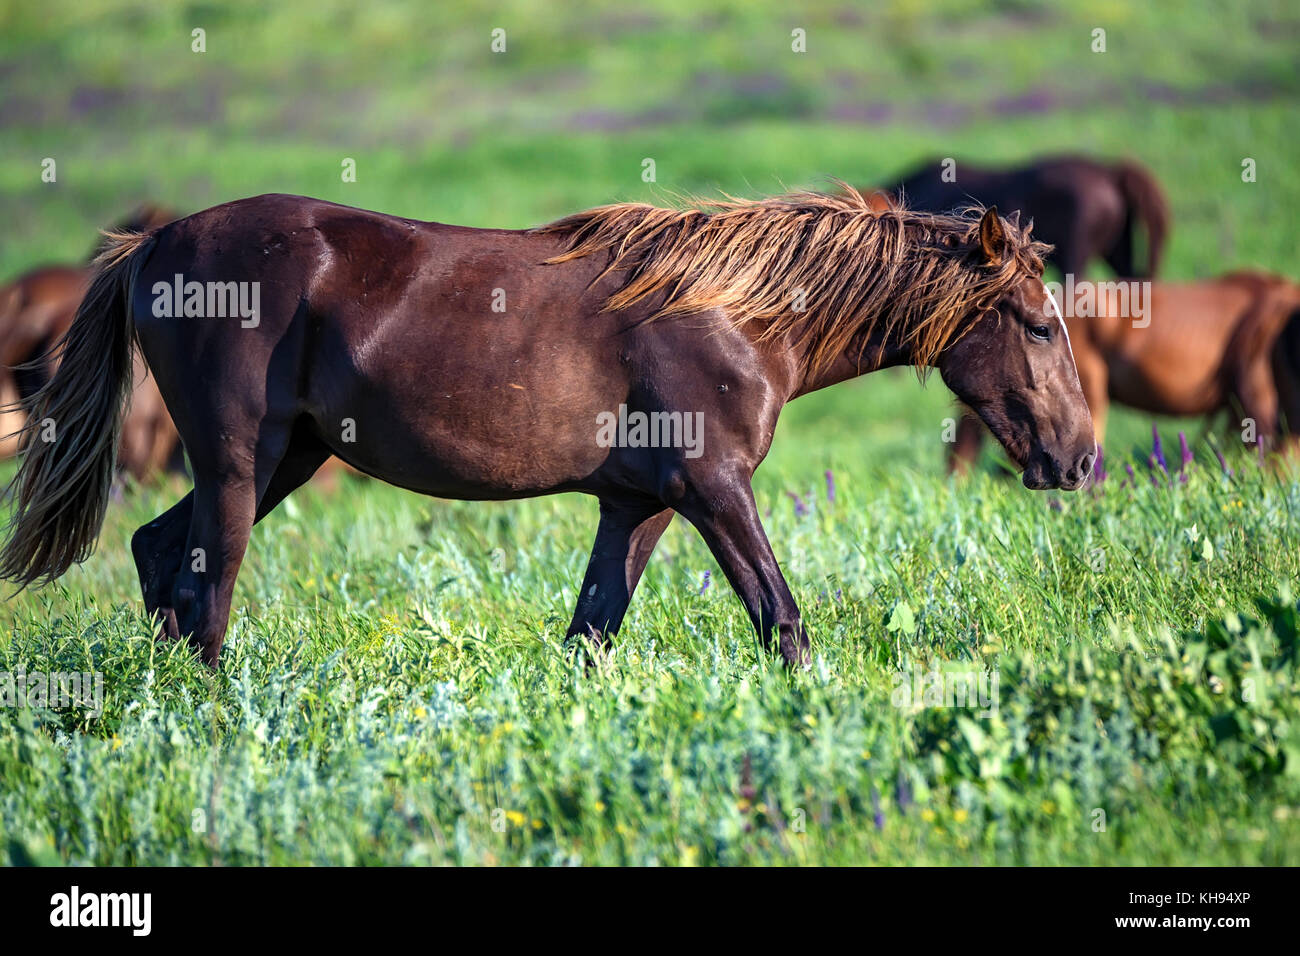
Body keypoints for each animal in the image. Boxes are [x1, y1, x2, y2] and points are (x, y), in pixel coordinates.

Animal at [0, 191, 1095, 668]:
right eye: (1039, 325)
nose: (1080, 459)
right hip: (242, 459)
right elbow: (781, 620)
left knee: (158, 556)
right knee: (206, 589)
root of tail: (154, 245)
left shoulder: (640, 504)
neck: (736, 313)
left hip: (290, 457)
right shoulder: (716, 491)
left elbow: (591, 636)